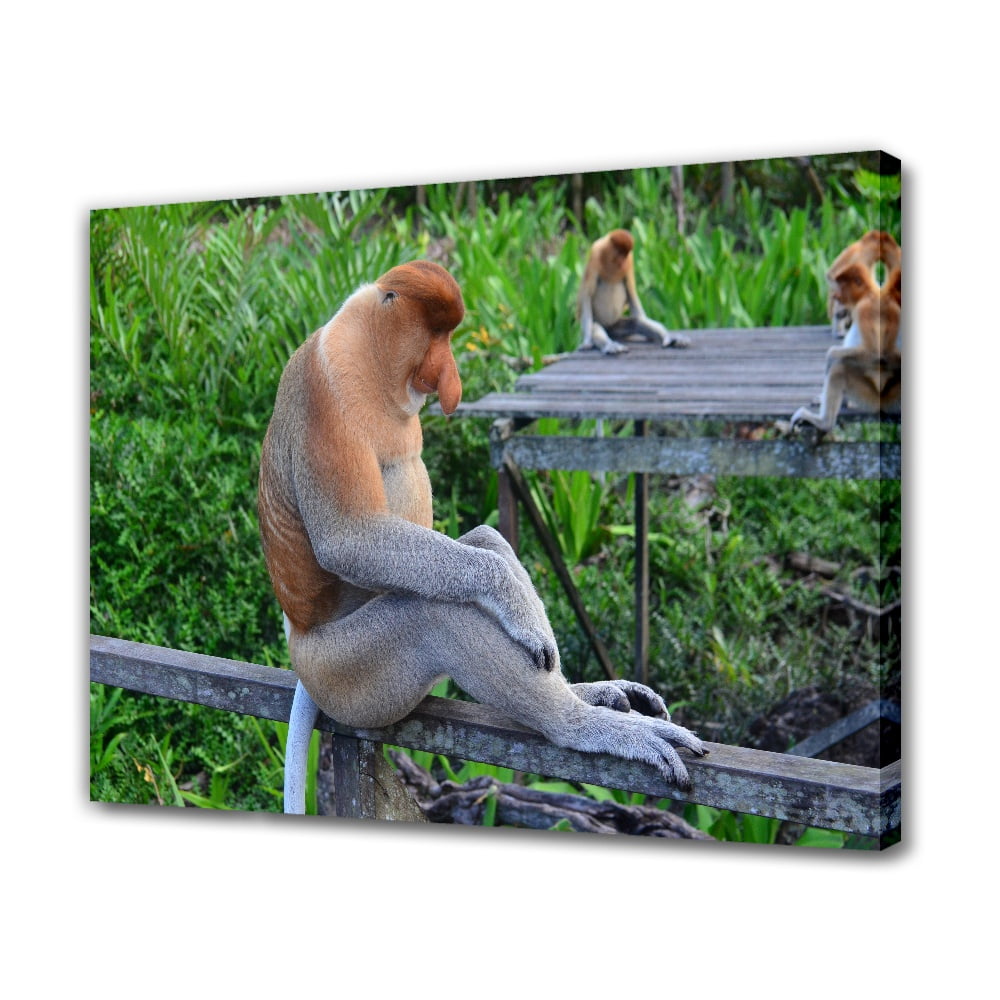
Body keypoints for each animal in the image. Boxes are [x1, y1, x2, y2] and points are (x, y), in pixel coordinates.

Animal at [258, 260, 706, 814]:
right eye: (436, 336)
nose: (451, 378)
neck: (364, 349)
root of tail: (299, 643)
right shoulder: (323, 389)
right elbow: (349, 539)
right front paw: (519, 607)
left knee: (484, 541)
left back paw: (588, 691)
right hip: (348, 675)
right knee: (433, 616)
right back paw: (582, 724)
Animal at [791, 258, 901, 432]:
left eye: (841, 286)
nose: (835, 296)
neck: (869, 294)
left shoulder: (866, 309)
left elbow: (875, 352)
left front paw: (830, 355)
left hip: (875, 398)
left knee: (838, 371)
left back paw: (824, 422)